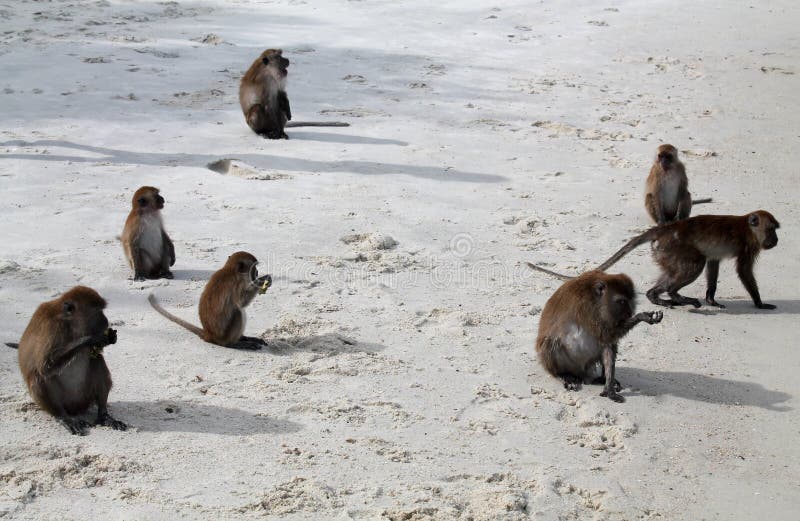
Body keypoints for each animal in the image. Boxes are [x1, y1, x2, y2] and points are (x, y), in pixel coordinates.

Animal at [7, 286, 126, 435]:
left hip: (84, 398)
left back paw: (103, 416)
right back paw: (64, 417)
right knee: (38, 376)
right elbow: (45, 366)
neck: (68, 322)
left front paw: (110, 338)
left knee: (97, 360)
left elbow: (96, 353)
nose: (105, 320)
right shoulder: (52, 327)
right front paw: (90, 339)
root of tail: (75, 409)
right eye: (98, 311)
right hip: (66, 402)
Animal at [528, 210, 780, 310]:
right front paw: (759, 303)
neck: (748, 225)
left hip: (664, 252)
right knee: (694, 264)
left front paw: (711, 298)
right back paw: (673, 295)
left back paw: (658, 296)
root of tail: (666, 229)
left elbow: (713, 264)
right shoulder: (748, 245)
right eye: (771, 230)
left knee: (682, 268)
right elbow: (743, 271)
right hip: (674, 248)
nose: (775, 241)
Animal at [536, 271, 663, 402]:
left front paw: (609, 388)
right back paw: (562, 375)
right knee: (550, 342)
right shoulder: (587, 307)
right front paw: (642, 316)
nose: (629, 313)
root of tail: (581, 373)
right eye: (622, 302)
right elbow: (606, 334)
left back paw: (604, 380)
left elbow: (608, 342)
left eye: (631, 301)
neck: (595, 296)